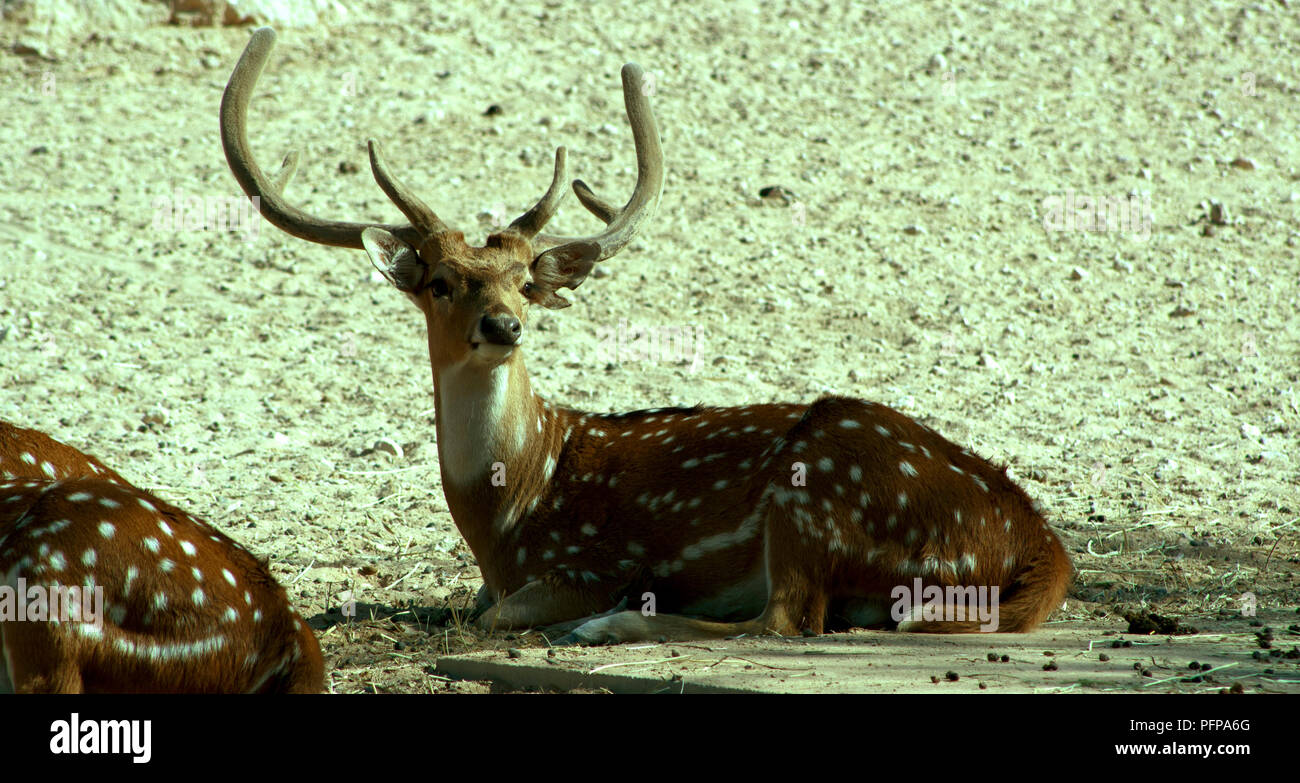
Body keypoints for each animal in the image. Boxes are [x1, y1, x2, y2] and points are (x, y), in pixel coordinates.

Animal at [221, 28, 1072, 645]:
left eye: (525, 281)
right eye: (440, 283)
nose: (504, 324)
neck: (506, 513)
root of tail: (1043, 545)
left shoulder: (583, 559)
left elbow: (490, 612)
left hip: (820, 484)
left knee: (787, 619)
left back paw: (611, 622)